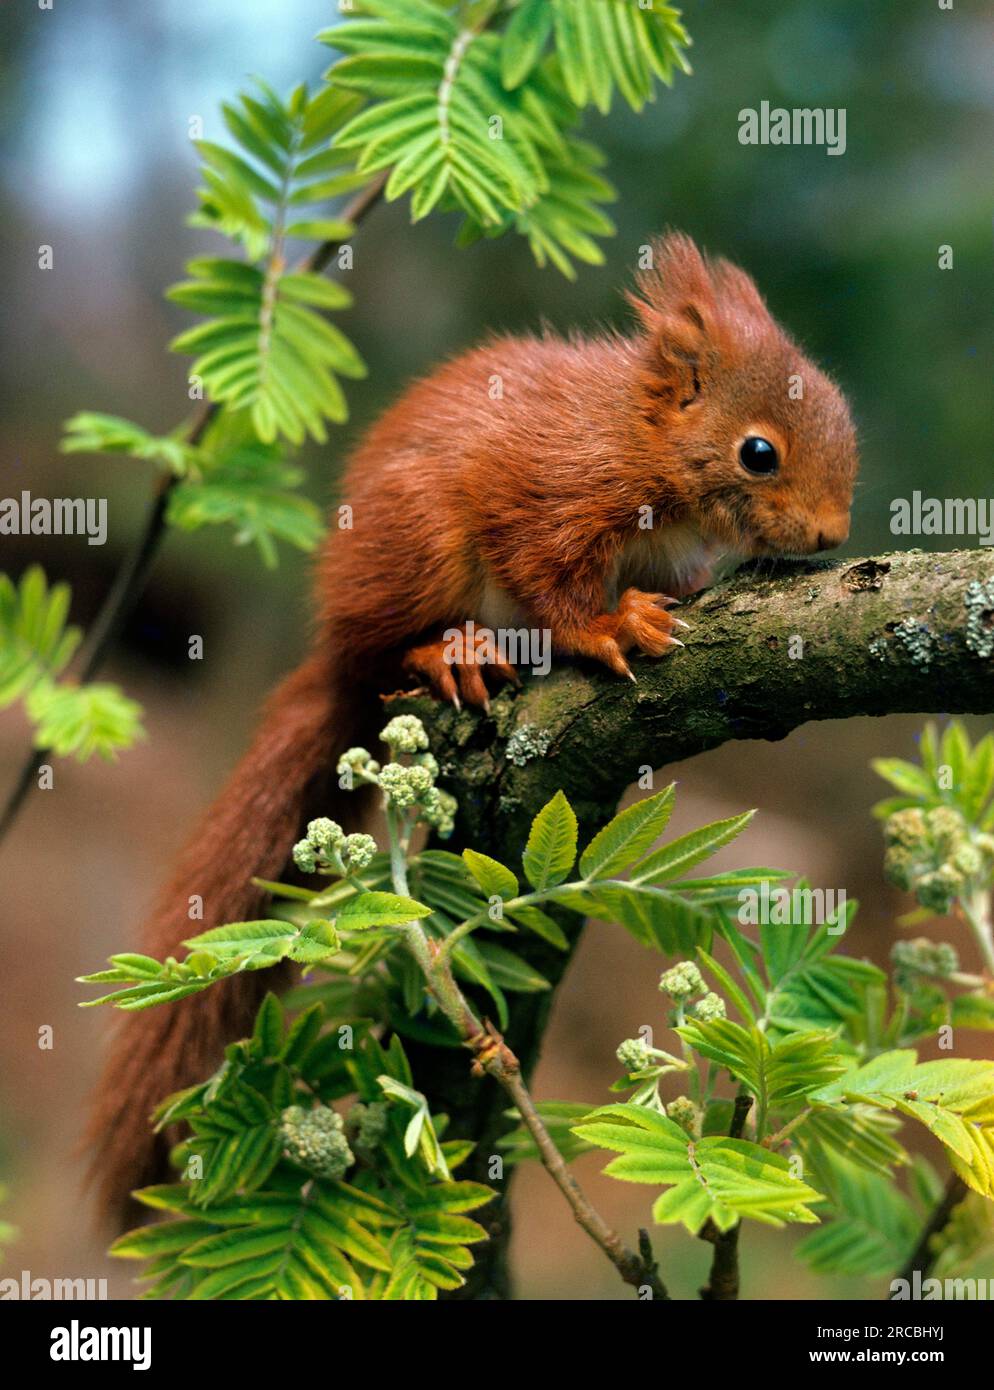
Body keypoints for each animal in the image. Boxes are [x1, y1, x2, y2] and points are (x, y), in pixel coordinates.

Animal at [86, 232, 858, 1224]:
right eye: (758, 452)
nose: (832, 533)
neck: (639, 437)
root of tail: (333, 642)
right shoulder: (549, 492)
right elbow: (551, 580)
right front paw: (609, 627)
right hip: (417, 545)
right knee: (386, 650)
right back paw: (446, 653)